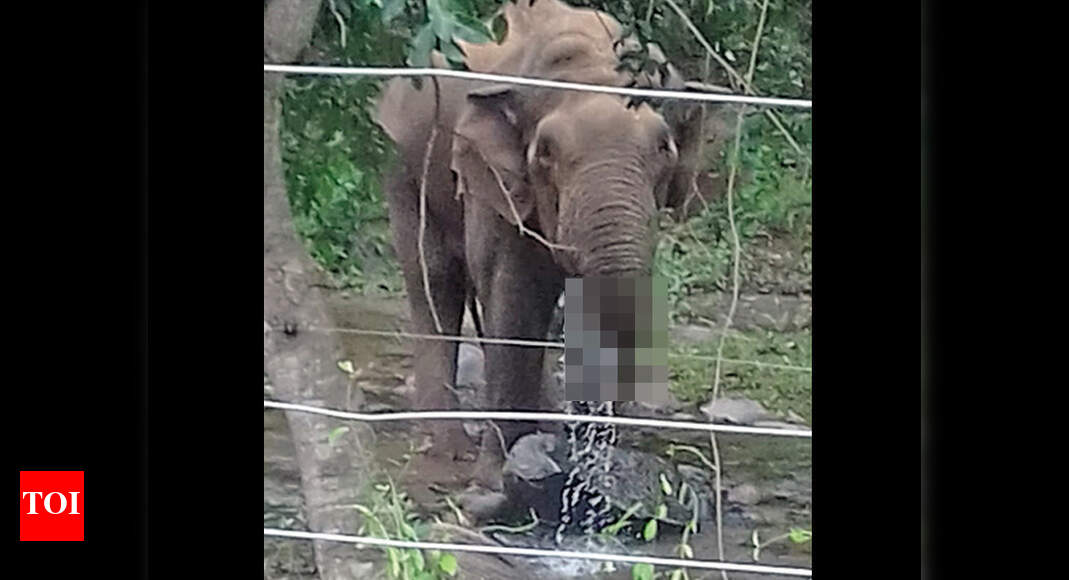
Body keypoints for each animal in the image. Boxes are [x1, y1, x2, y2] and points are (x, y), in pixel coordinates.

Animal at [375, 0, 705, 485]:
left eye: (665, 147)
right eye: (544, 151)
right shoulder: (491, 179)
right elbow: (513, 295)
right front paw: (497, 477)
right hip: (403, 170)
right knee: (435, 283)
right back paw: (448, 453)